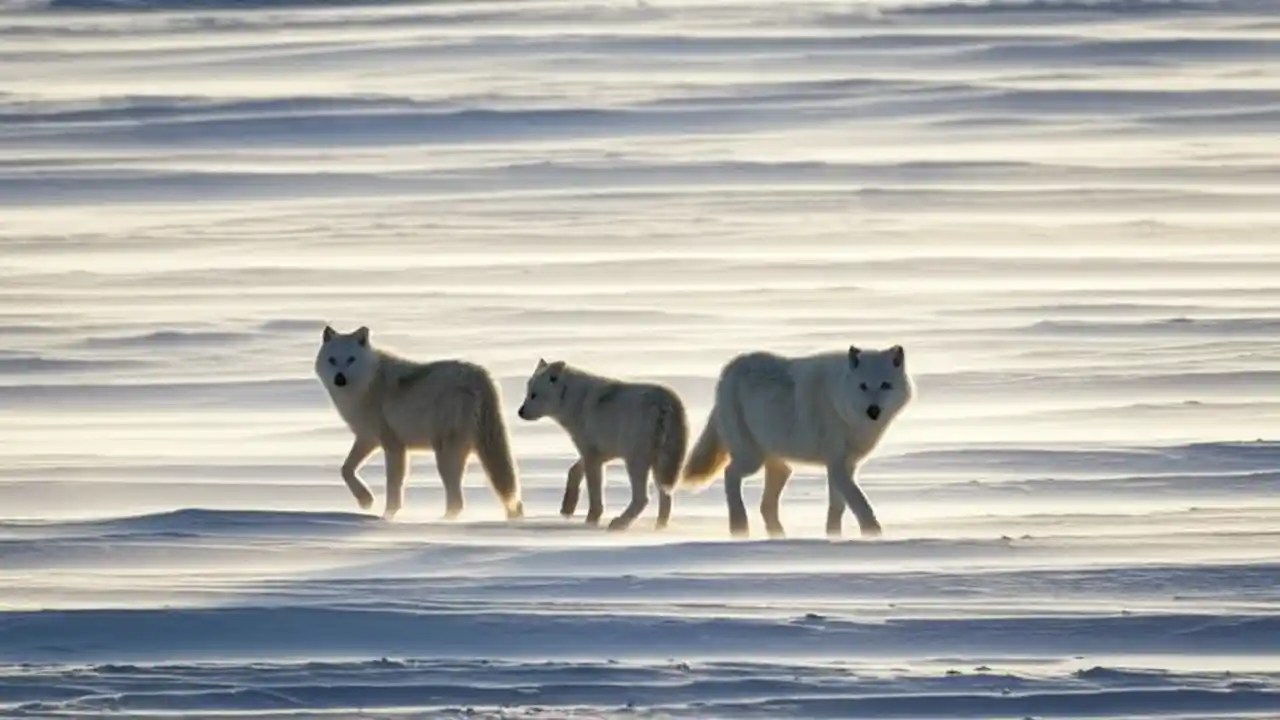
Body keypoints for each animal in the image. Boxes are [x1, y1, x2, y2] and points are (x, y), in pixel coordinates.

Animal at [314, 325, 522, 521]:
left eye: (351, 359)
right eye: (332, 360)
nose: (339, 378)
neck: (366, 386)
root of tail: (481, 378)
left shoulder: (393, 445)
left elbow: (393, 487)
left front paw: (385, 517)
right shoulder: (367, 438)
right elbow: (345, 469)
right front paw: (366, 501)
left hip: (445, 455)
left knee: (458, 502)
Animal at [517, 359, 688, 531]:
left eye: (534, 395)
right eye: (527, 392)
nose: (520, 412)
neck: (574, 400)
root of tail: (666, 404)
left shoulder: (592, 454)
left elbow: (594, 492)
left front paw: (590, 521)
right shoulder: (598, 453)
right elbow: (574, 471)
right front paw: (567, 508)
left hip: (637, 461)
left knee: (643, 498)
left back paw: (619, 523)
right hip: (663, 464)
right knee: (666, 495)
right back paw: (660, 526)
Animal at [683, 345, 913, 538]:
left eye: (885, 385)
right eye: (863, 386)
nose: (873, 410)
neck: (840, 404)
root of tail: (728, 371)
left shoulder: (847, 465)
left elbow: (838, 506)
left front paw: (833, 536)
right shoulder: (836, 464)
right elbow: (858, 501)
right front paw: (873, 534)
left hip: (781, 468)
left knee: (765, 505)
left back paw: (778, 536)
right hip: (751, 460)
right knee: (730, 474)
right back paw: (740, 528)